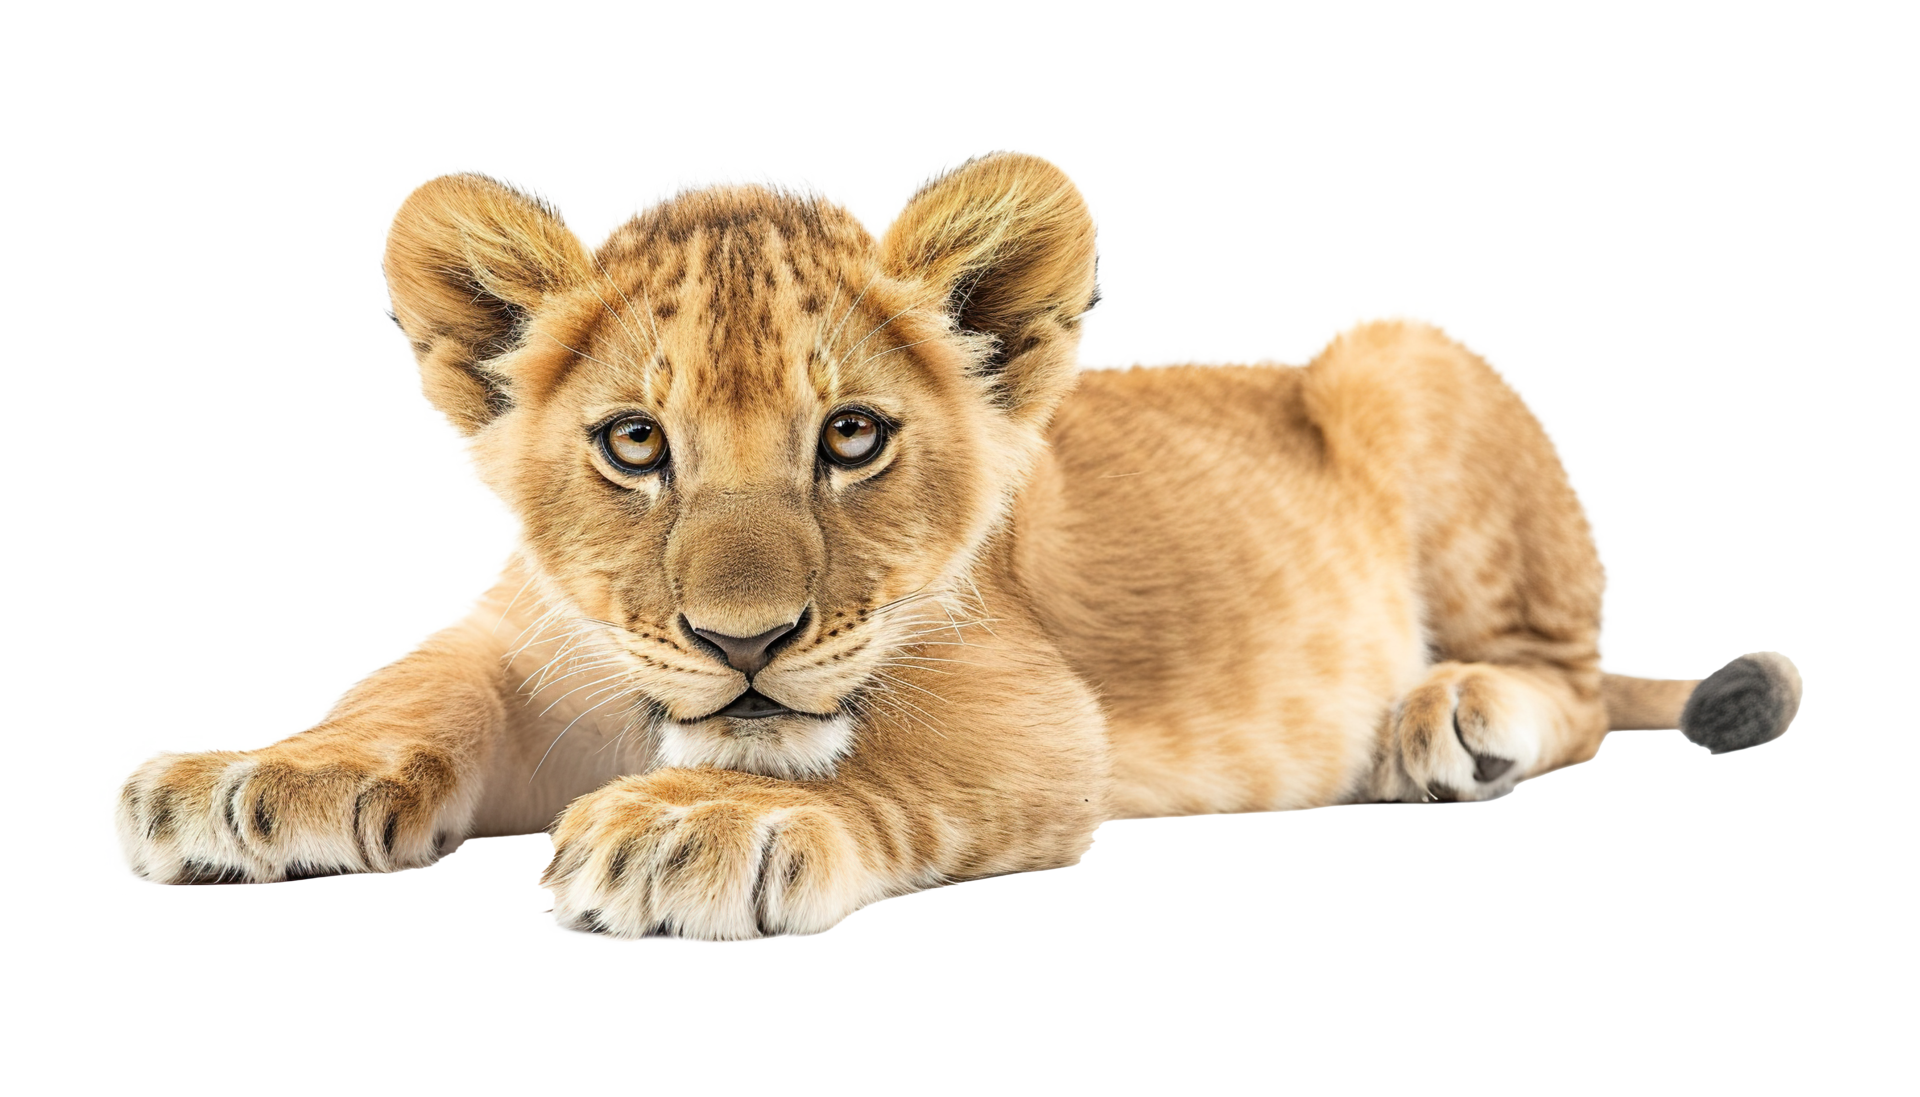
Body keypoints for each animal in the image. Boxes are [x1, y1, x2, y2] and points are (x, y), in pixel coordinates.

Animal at [97, 145, 1805, 943]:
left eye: (853, 437)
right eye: (634, 445)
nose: (742, 644)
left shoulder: (1034, 709)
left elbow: (878, 758)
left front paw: (693, 823)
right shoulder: (516, 643)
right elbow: (405, 688)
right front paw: (248, 782)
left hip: (1403, 349)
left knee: (1572, 680)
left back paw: (1446, 720)